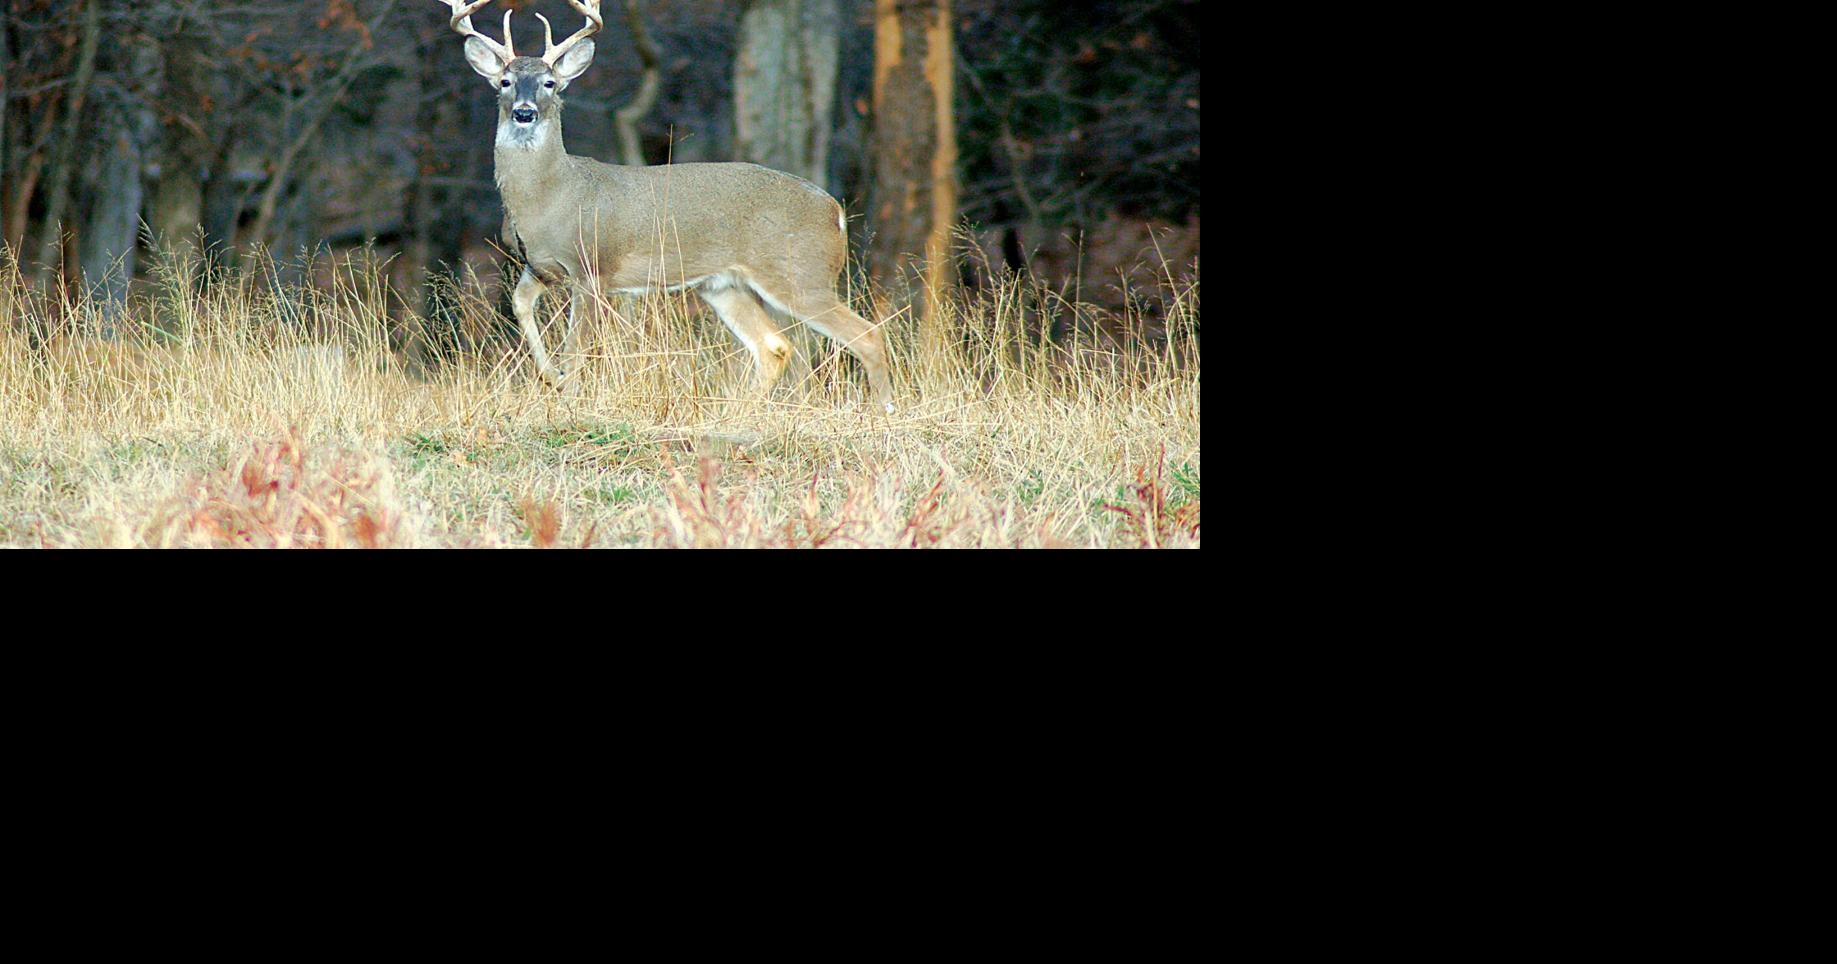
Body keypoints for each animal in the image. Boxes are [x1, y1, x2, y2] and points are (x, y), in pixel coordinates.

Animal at [436, 0, 892, 412]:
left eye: (550, 83)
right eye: (505, 81)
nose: (525, 112)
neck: (551, 198)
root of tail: (835, 212)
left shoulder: (593, 268)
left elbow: (576, 348)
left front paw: (569, 396)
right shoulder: (539, 266)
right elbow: (520, 305)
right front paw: (552, 378)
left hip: (799, 272)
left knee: (866, 334)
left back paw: (882, 412)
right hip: (724, 284)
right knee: (775, 347)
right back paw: (735, 413)